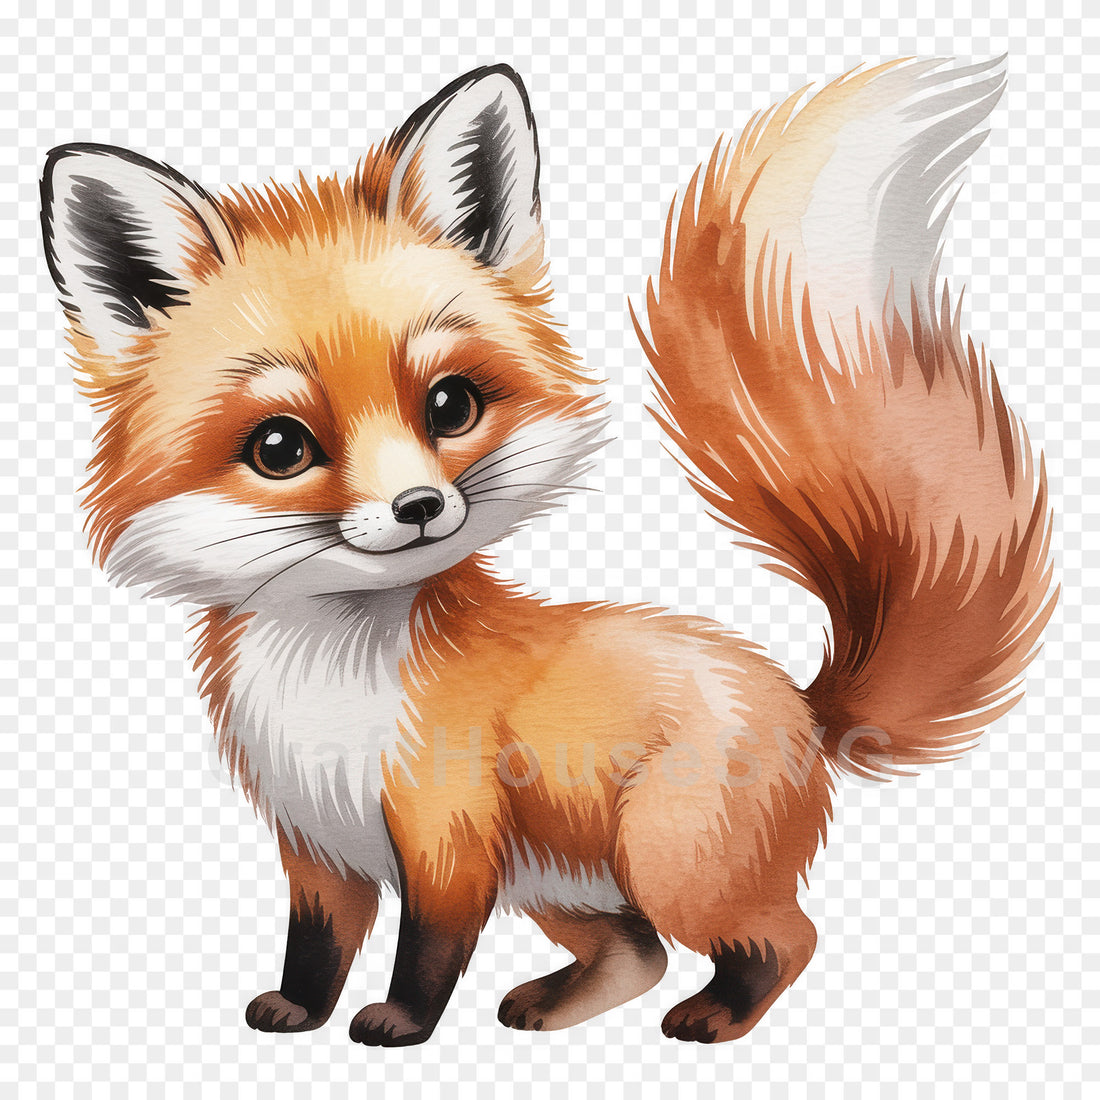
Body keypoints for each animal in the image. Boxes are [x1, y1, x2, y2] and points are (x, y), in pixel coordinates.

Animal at [40, 58, 1054, 1046]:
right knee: (638, 956)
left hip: (666, 863)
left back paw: (718, 1017)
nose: (419, 507)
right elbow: (316, 946)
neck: (329, 683)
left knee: (785, 938)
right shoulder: (315, 845)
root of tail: (804, 707)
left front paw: (398, 1027)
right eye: (280, 448)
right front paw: (298, 1012)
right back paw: (555, 1006)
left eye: (450, 405)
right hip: (568, 883)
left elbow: (429, 947)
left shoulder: (448, 832)